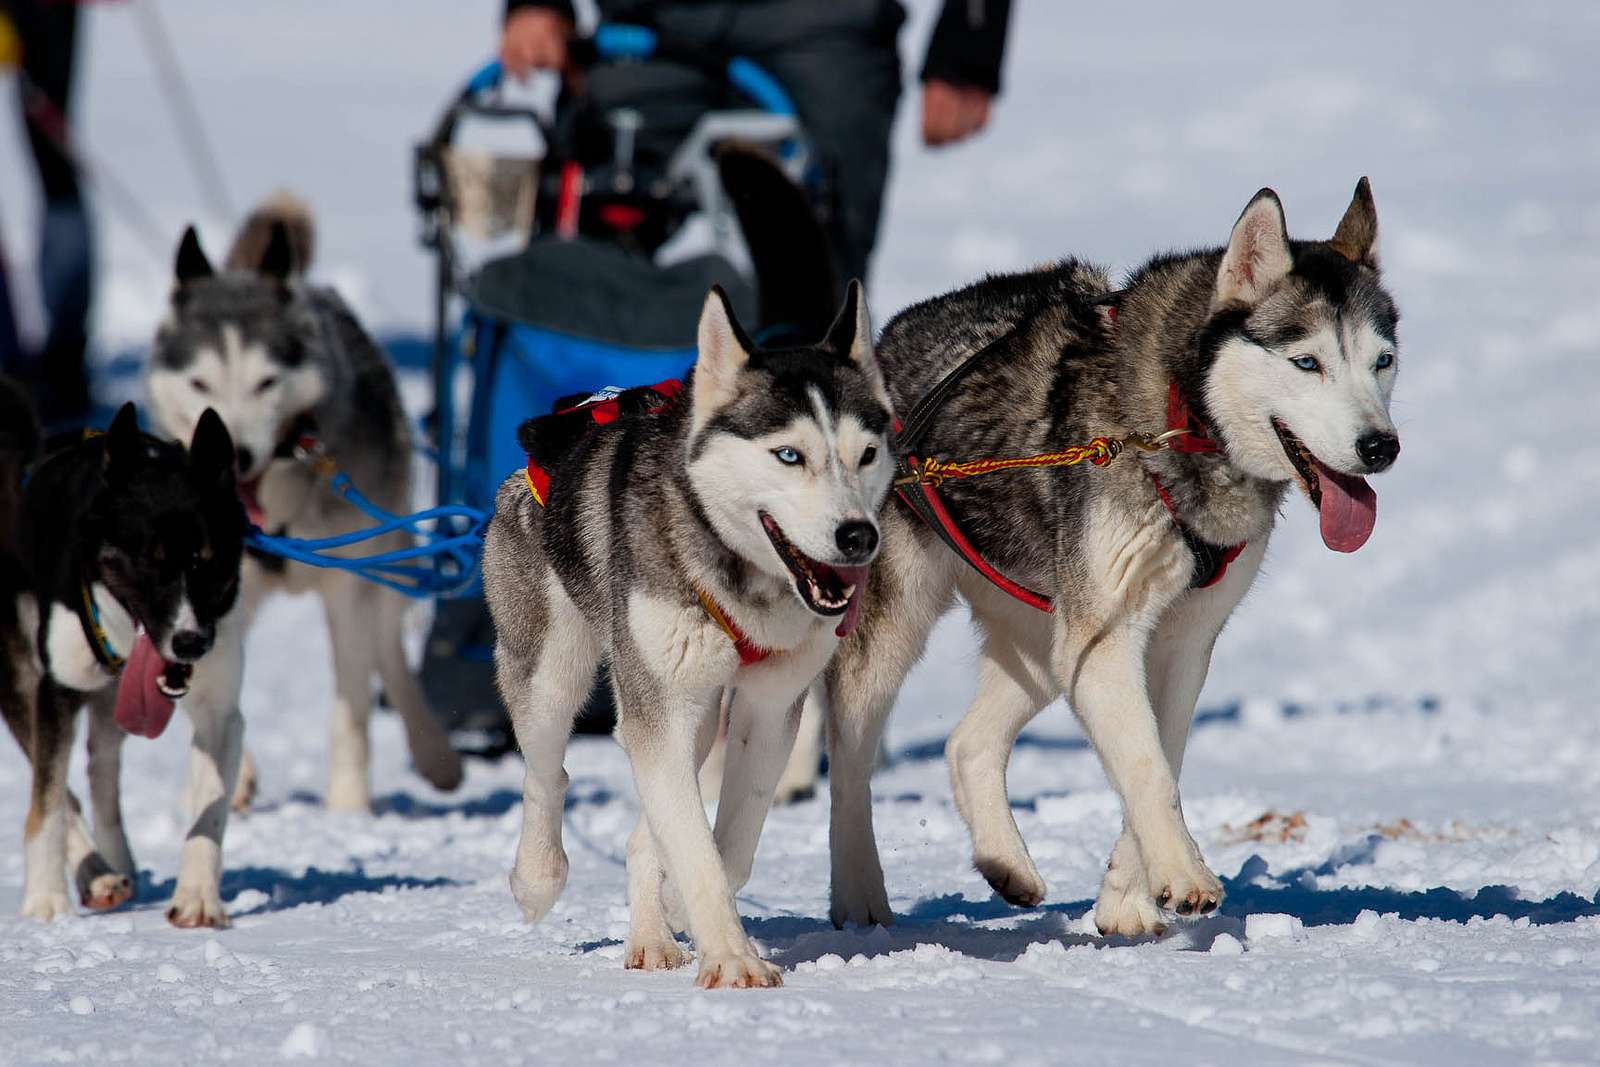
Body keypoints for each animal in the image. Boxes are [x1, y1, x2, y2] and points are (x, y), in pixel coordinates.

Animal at [1, 404, 248, 921]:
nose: (191, 642)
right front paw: (46, 898)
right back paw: (94, 873)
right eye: (150, 561)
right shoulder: (56, 690)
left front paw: (197, 895)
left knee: (103, 768)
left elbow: (211, 807)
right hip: (20, 677)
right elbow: (48, 799)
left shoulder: (220, 713)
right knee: (59, 782)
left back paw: (116, 859)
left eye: (208, 562)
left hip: (114, 703)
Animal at [480, 281, 896, 985]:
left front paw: (690, 911)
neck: (738, 578)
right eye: (789, 454)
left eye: (865, 453)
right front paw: (733, 960)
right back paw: (538, 879)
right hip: (553, 671)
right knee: (546, 771)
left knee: (643, 832)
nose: (857, 536)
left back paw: (653, 935)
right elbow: (696, 848)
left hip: (698, 711)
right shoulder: (661, 710)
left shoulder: (769, 706)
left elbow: (728, 841)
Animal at [825, 181, 1401, 934]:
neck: (1182, 421)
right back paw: (858, 892)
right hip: (902, 626)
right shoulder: (1108, 639)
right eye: (1308, 362)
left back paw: (1006, 860)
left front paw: (1127, 897)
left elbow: (1161, 757)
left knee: (968, 743)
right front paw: (1185, 874)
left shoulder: (1178, 644)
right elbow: (1149, 769)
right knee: (849, 755)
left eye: (1382, 361)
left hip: (1045, 641)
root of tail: (884, 344)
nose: (1380, 447)